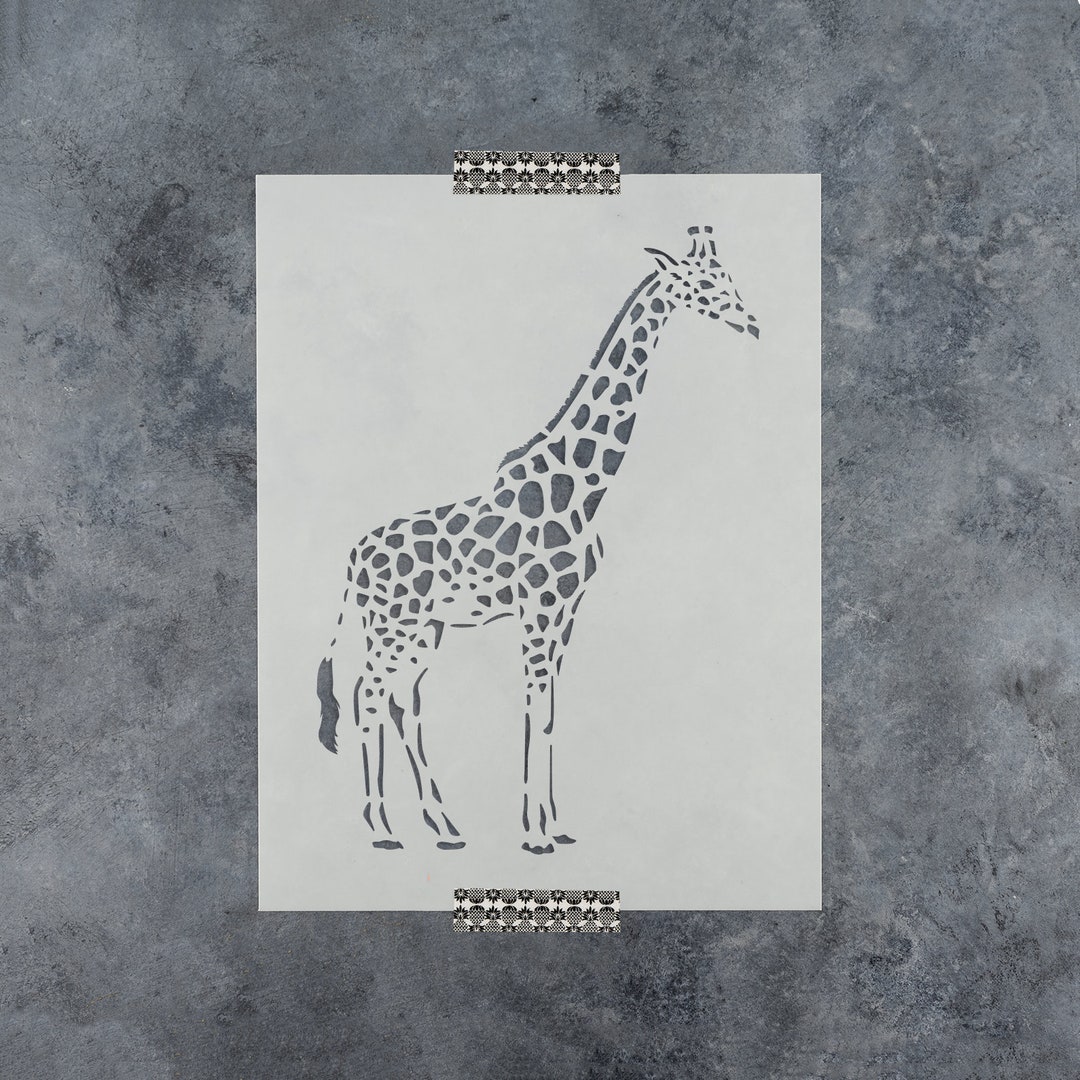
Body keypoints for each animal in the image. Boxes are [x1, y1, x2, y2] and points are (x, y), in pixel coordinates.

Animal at [316, 225, 759, 854]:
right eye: (702, 285)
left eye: (728, 278)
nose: (752, 322)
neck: (580, 489)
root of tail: (353, 558)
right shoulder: (539, 610)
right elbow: (534, 708)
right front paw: (534, 835)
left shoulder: (568, 613)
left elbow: (550, 712)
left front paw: (557, 826)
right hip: (390, 625)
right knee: (367, 696)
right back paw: (382, 830)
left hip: (424, 631)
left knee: (400, 700)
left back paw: (444, 827)